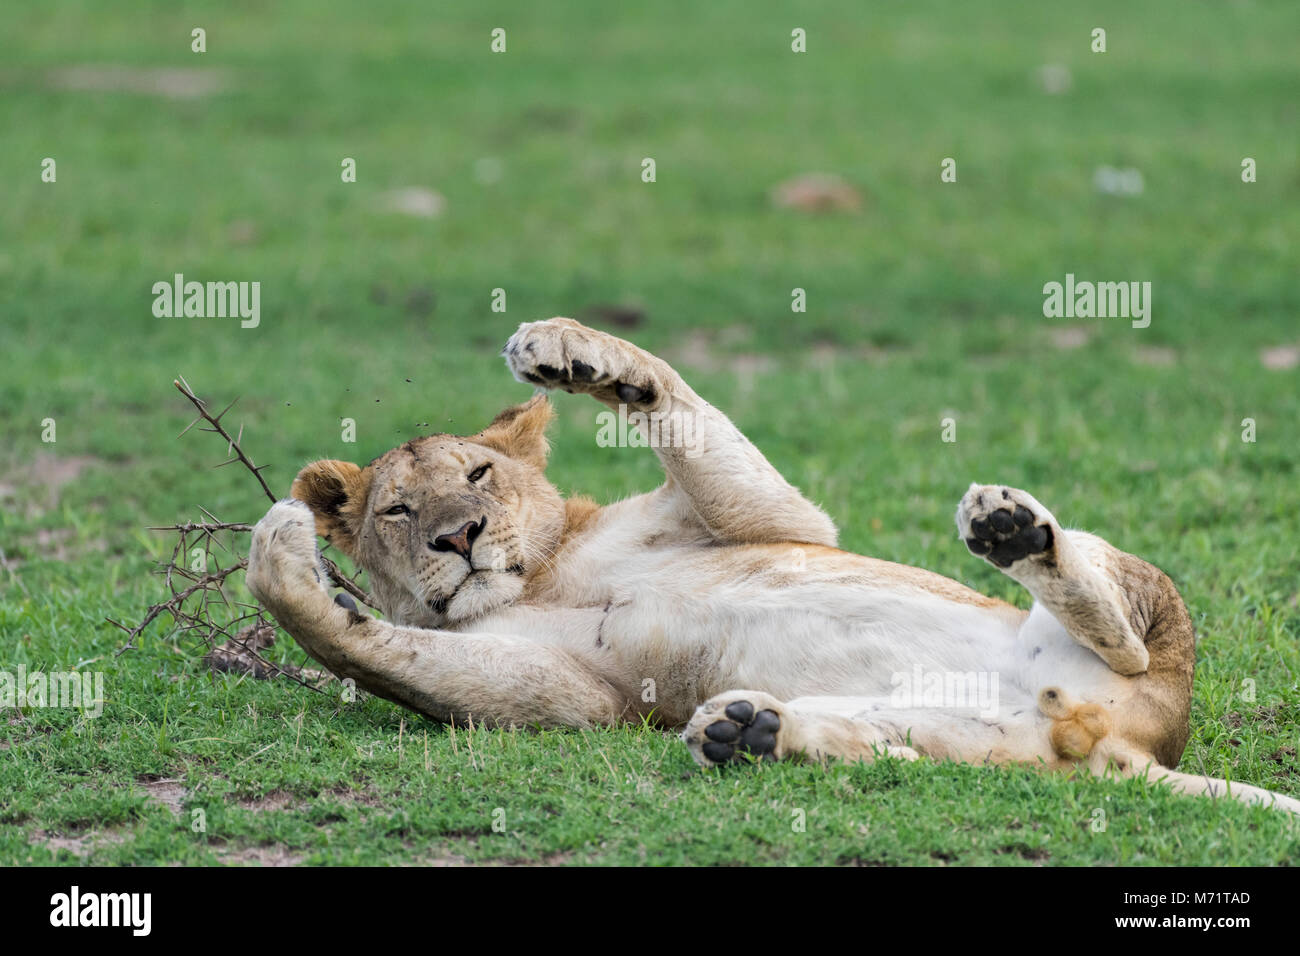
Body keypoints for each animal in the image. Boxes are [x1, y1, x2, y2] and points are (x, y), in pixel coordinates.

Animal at [245, 316, 1299, 814]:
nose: (458, 538)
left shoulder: (779, 518)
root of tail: (1127, 745)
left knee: (1120, 623)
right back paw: (750, 731)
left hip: (1143, 622)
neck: (545, 571)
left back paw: (1009, 531)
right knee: (902, 753)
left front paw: (570, 351)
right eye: (398, 509)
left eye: (479, 474)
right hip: (978, 749)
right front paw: (287, 570)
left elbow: (671, 395)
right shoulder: (583, 697)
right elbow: (382, 651)